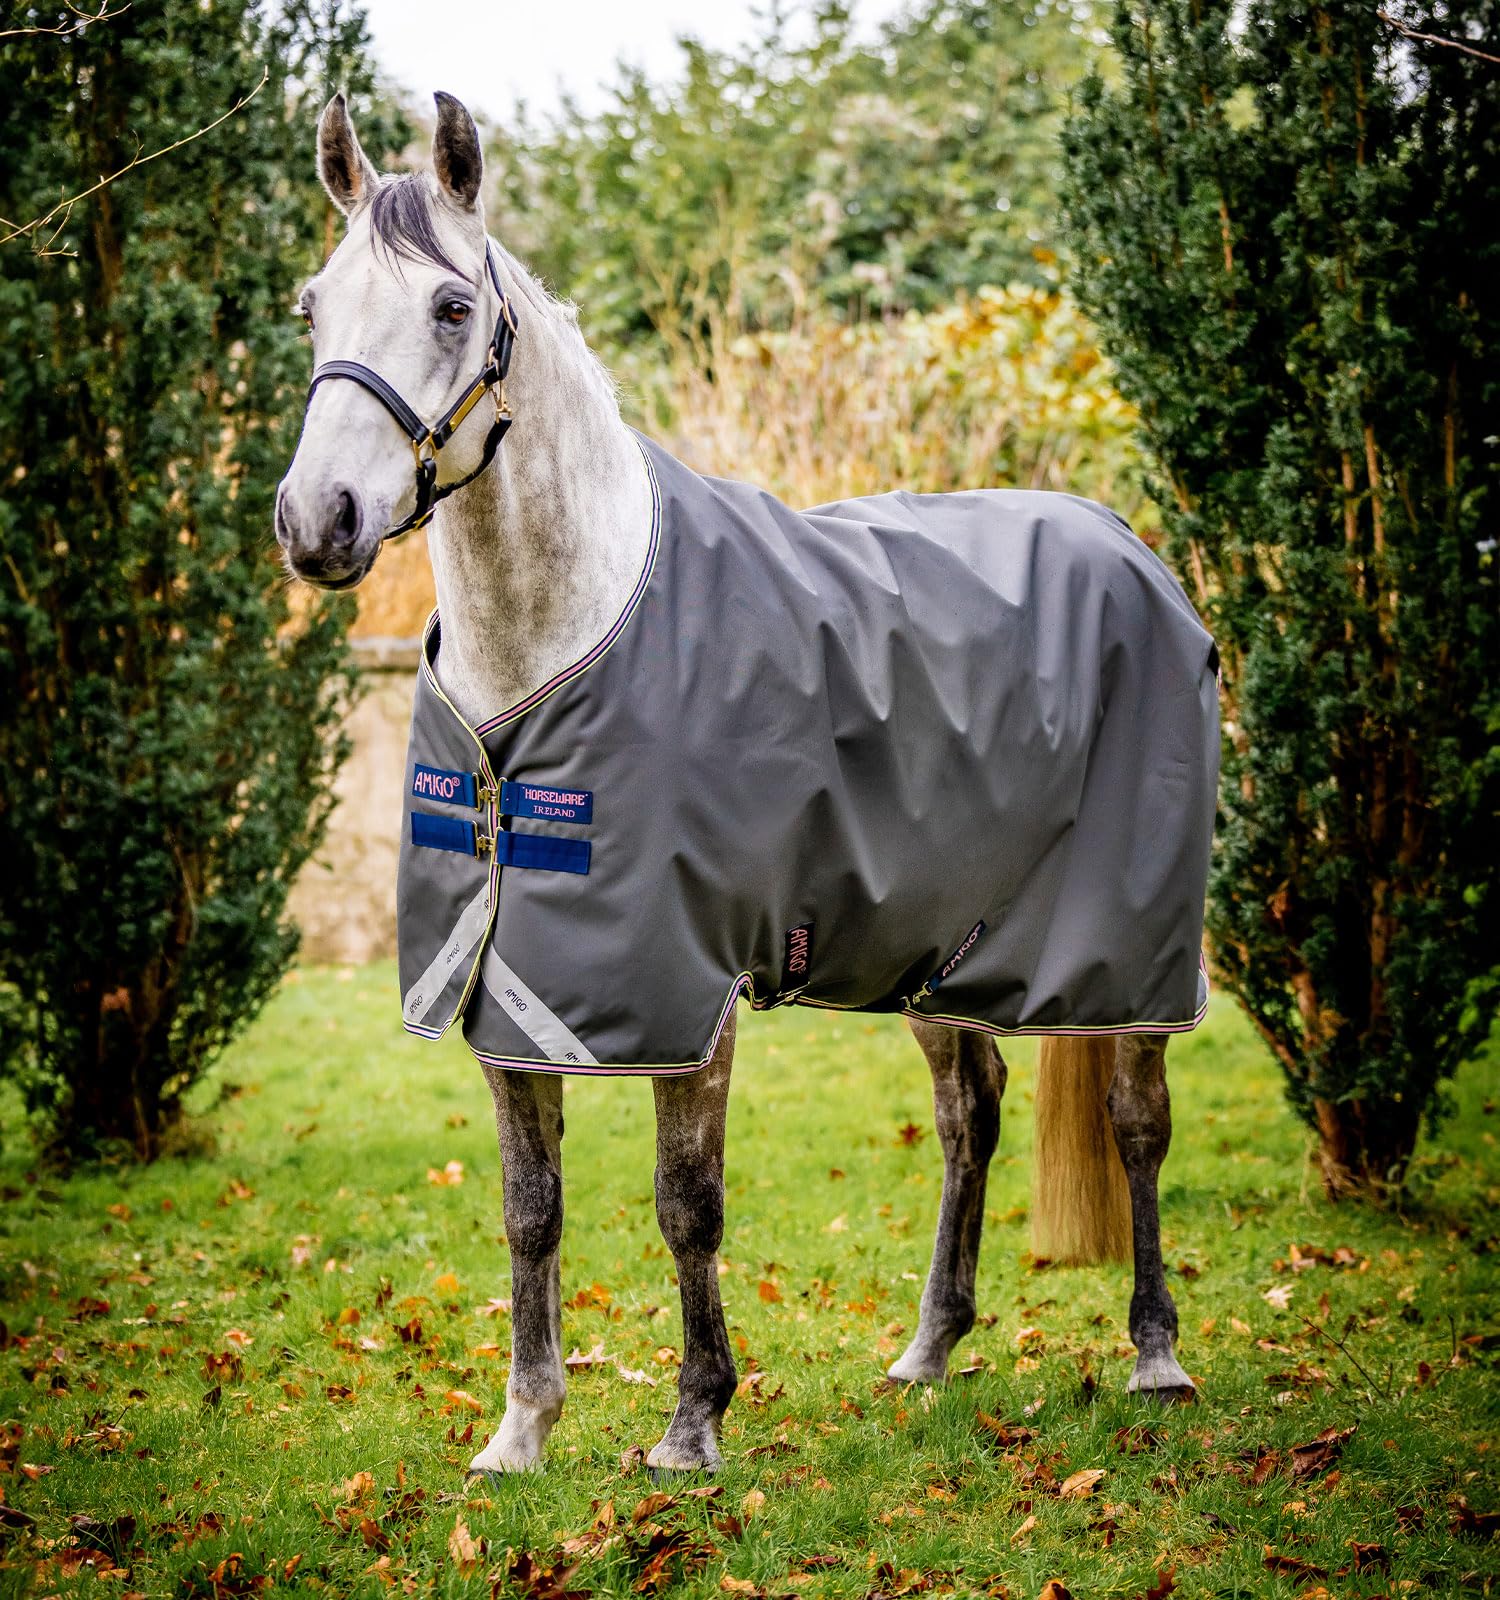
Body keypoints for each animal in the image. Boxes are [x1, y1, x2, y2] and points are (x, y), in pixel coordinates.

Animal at [276, 92, 1212, 1477]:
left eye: (450, 306)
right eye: (311, 308)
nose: (317, 521)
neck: (565, 638)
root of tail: (1131, 552)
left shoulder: (690, 991)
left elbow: (687, 1203)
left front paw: (692, 1423)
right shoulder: (504, 992)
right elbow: (530, 1209)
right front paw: (521, 1430)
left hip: (1130, 956)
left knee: (1139, 1119)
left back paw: (1156, 1357)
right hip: (940, 947)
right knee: (970, 1115)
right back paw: (928, 1350)